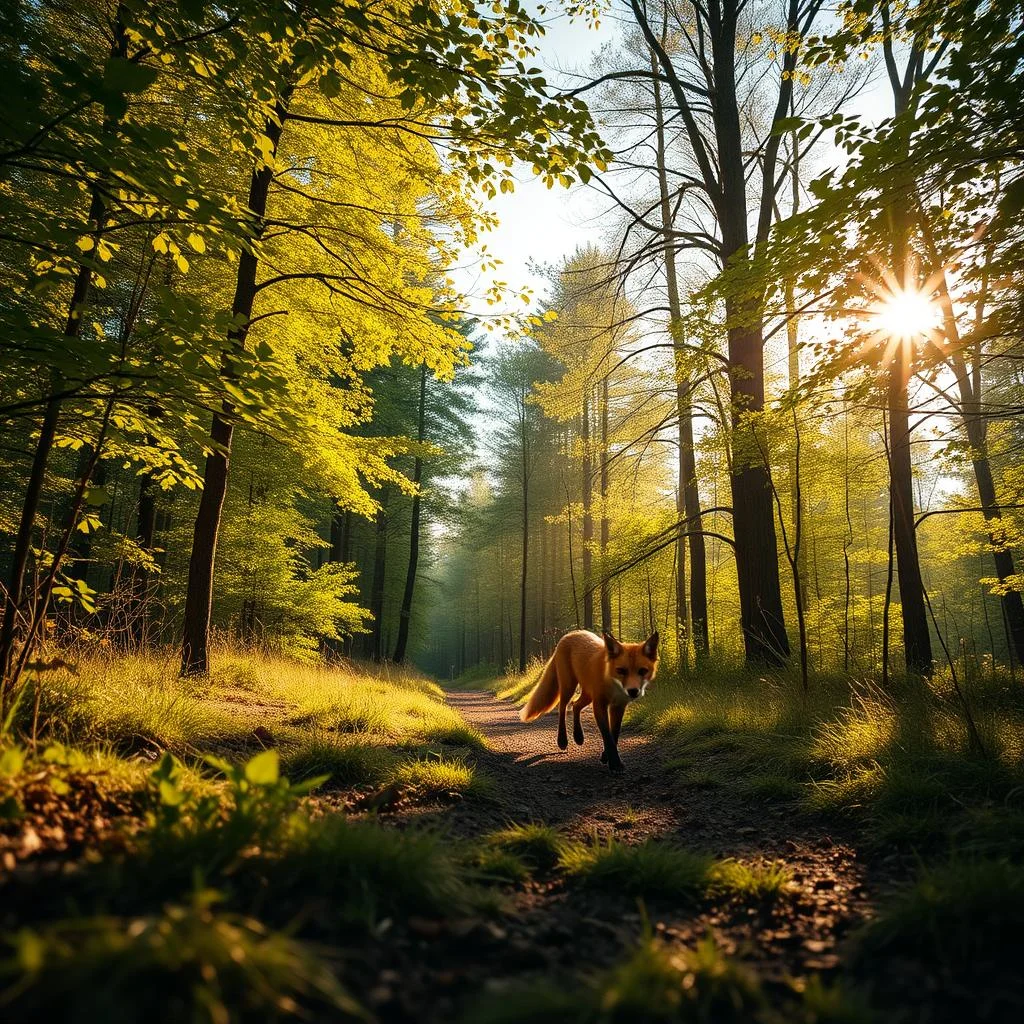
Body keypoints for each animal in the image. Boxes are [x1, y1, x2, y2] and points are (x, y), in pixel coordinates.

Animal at [519, 629, 659, 773]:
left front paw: (606, 756)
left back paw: (578, 736)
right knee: (563, 707)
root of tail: (571, 633)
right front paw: (615, 763)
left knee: (575, 705)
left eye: (642, 671)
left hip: (587, 695)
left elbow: (614, 733)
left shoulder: (618, 706)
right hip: (569, 686)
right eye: (621, 670)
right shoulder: (599, 704)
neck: (611, 683)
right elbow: (607, 735)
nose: (633, 691)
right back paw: (562, 740)